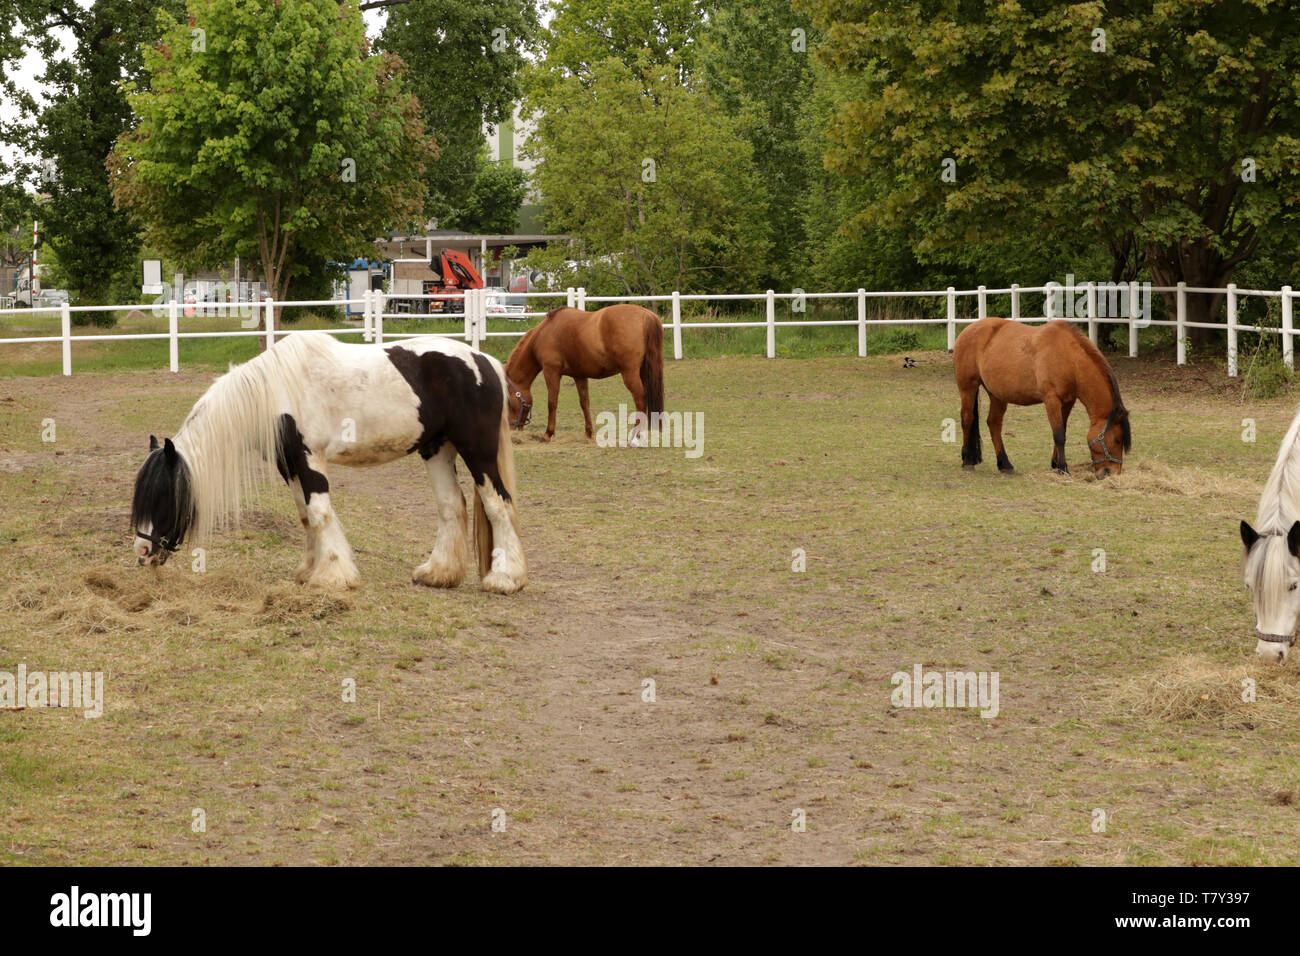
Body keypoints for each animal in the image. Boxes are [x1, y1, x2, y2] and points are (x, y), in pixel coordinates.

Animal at [129, 332, 527, 594]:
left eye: (163, 497)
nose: (142, 552)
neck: (274, 393)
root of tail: (485, 362)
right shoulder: (289, 464)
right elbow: (306, 516)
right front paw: (309, 570)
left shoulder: (310, 460)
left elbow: (319, 513)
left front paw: (333, 575)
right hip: (437, 449)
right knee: (451, 506)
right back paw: (439, 574)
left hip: (477, 452)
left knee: (498, 504)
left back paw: (505, 578)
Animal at [503, 304, 664, 442]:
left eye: (508, 401)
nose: (511, 428)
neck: (545, 333)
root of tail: (646, 314)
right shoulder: (579, 376)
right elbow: (584, 403)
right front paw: (589, 433)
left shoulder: (551, 372)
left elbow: (552, 402)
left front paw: (548, 434)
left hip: (630, 374)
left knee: (640, 398)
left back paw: (636, 435)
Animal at [953, 317, 1132, 477]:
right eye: (1117, 440)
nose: (1112, 472)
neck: (1069, 358)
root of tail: (967, 330)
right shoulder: (1051, 400)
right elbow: (1059, 434)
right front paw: (1063, 468)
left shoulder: (1068, 401)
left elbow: (1062, 430)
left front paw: (1055, 464)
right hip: (968, 387)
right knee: (967, 419)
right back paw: (967, 461)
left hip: (997, 395)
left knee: (994, 424)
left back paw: (1005, 464)